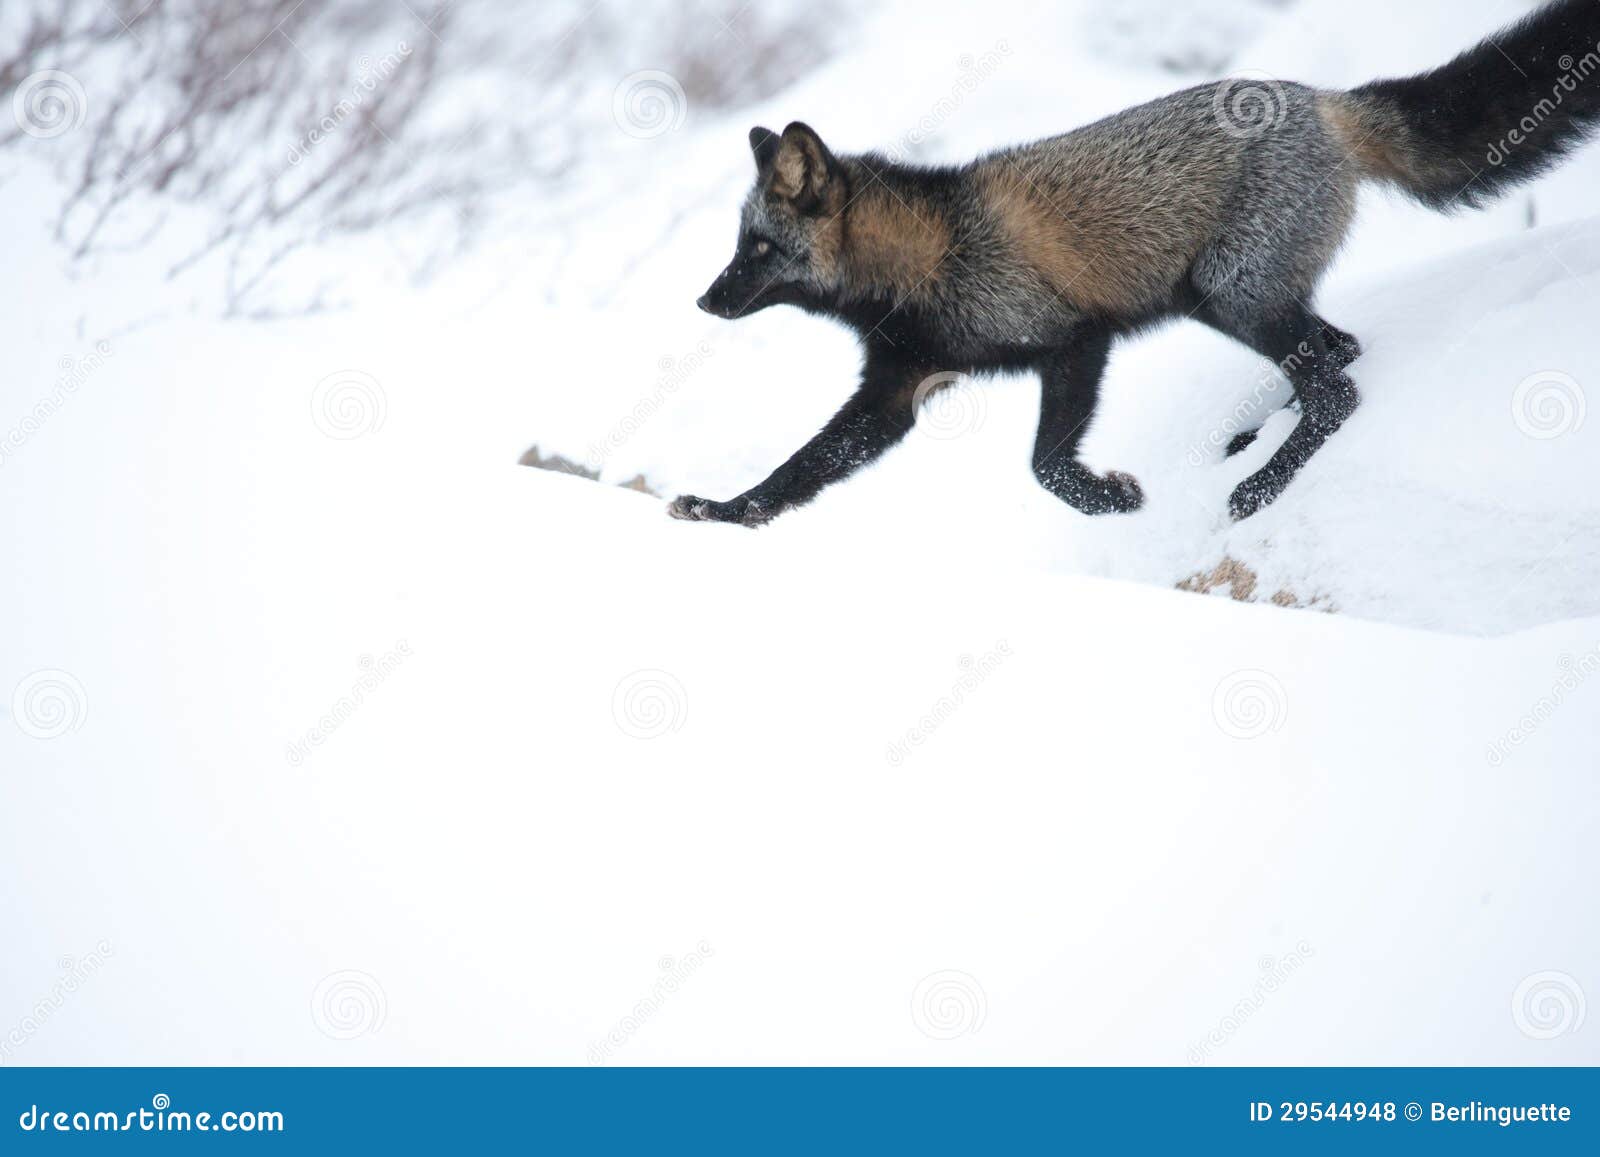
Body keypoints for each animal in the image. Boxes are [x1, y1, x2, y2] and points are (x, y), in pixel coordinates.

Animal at [667, 0, 1600, 528]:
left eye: (757, 248)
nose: (706, 302)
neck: (935, 255)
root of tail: (1321, 99)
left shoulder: (1075, 338)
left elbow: (1046, 467)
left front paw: (1110, 498)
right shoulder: (897, 389)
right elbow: (795, 471)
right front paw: (721, 513)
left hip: (1229, 294)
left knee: (1339, 386)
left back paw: (1261, 485)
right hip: (1225, 300)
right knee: (1340, 358)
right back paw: (1256, 440)